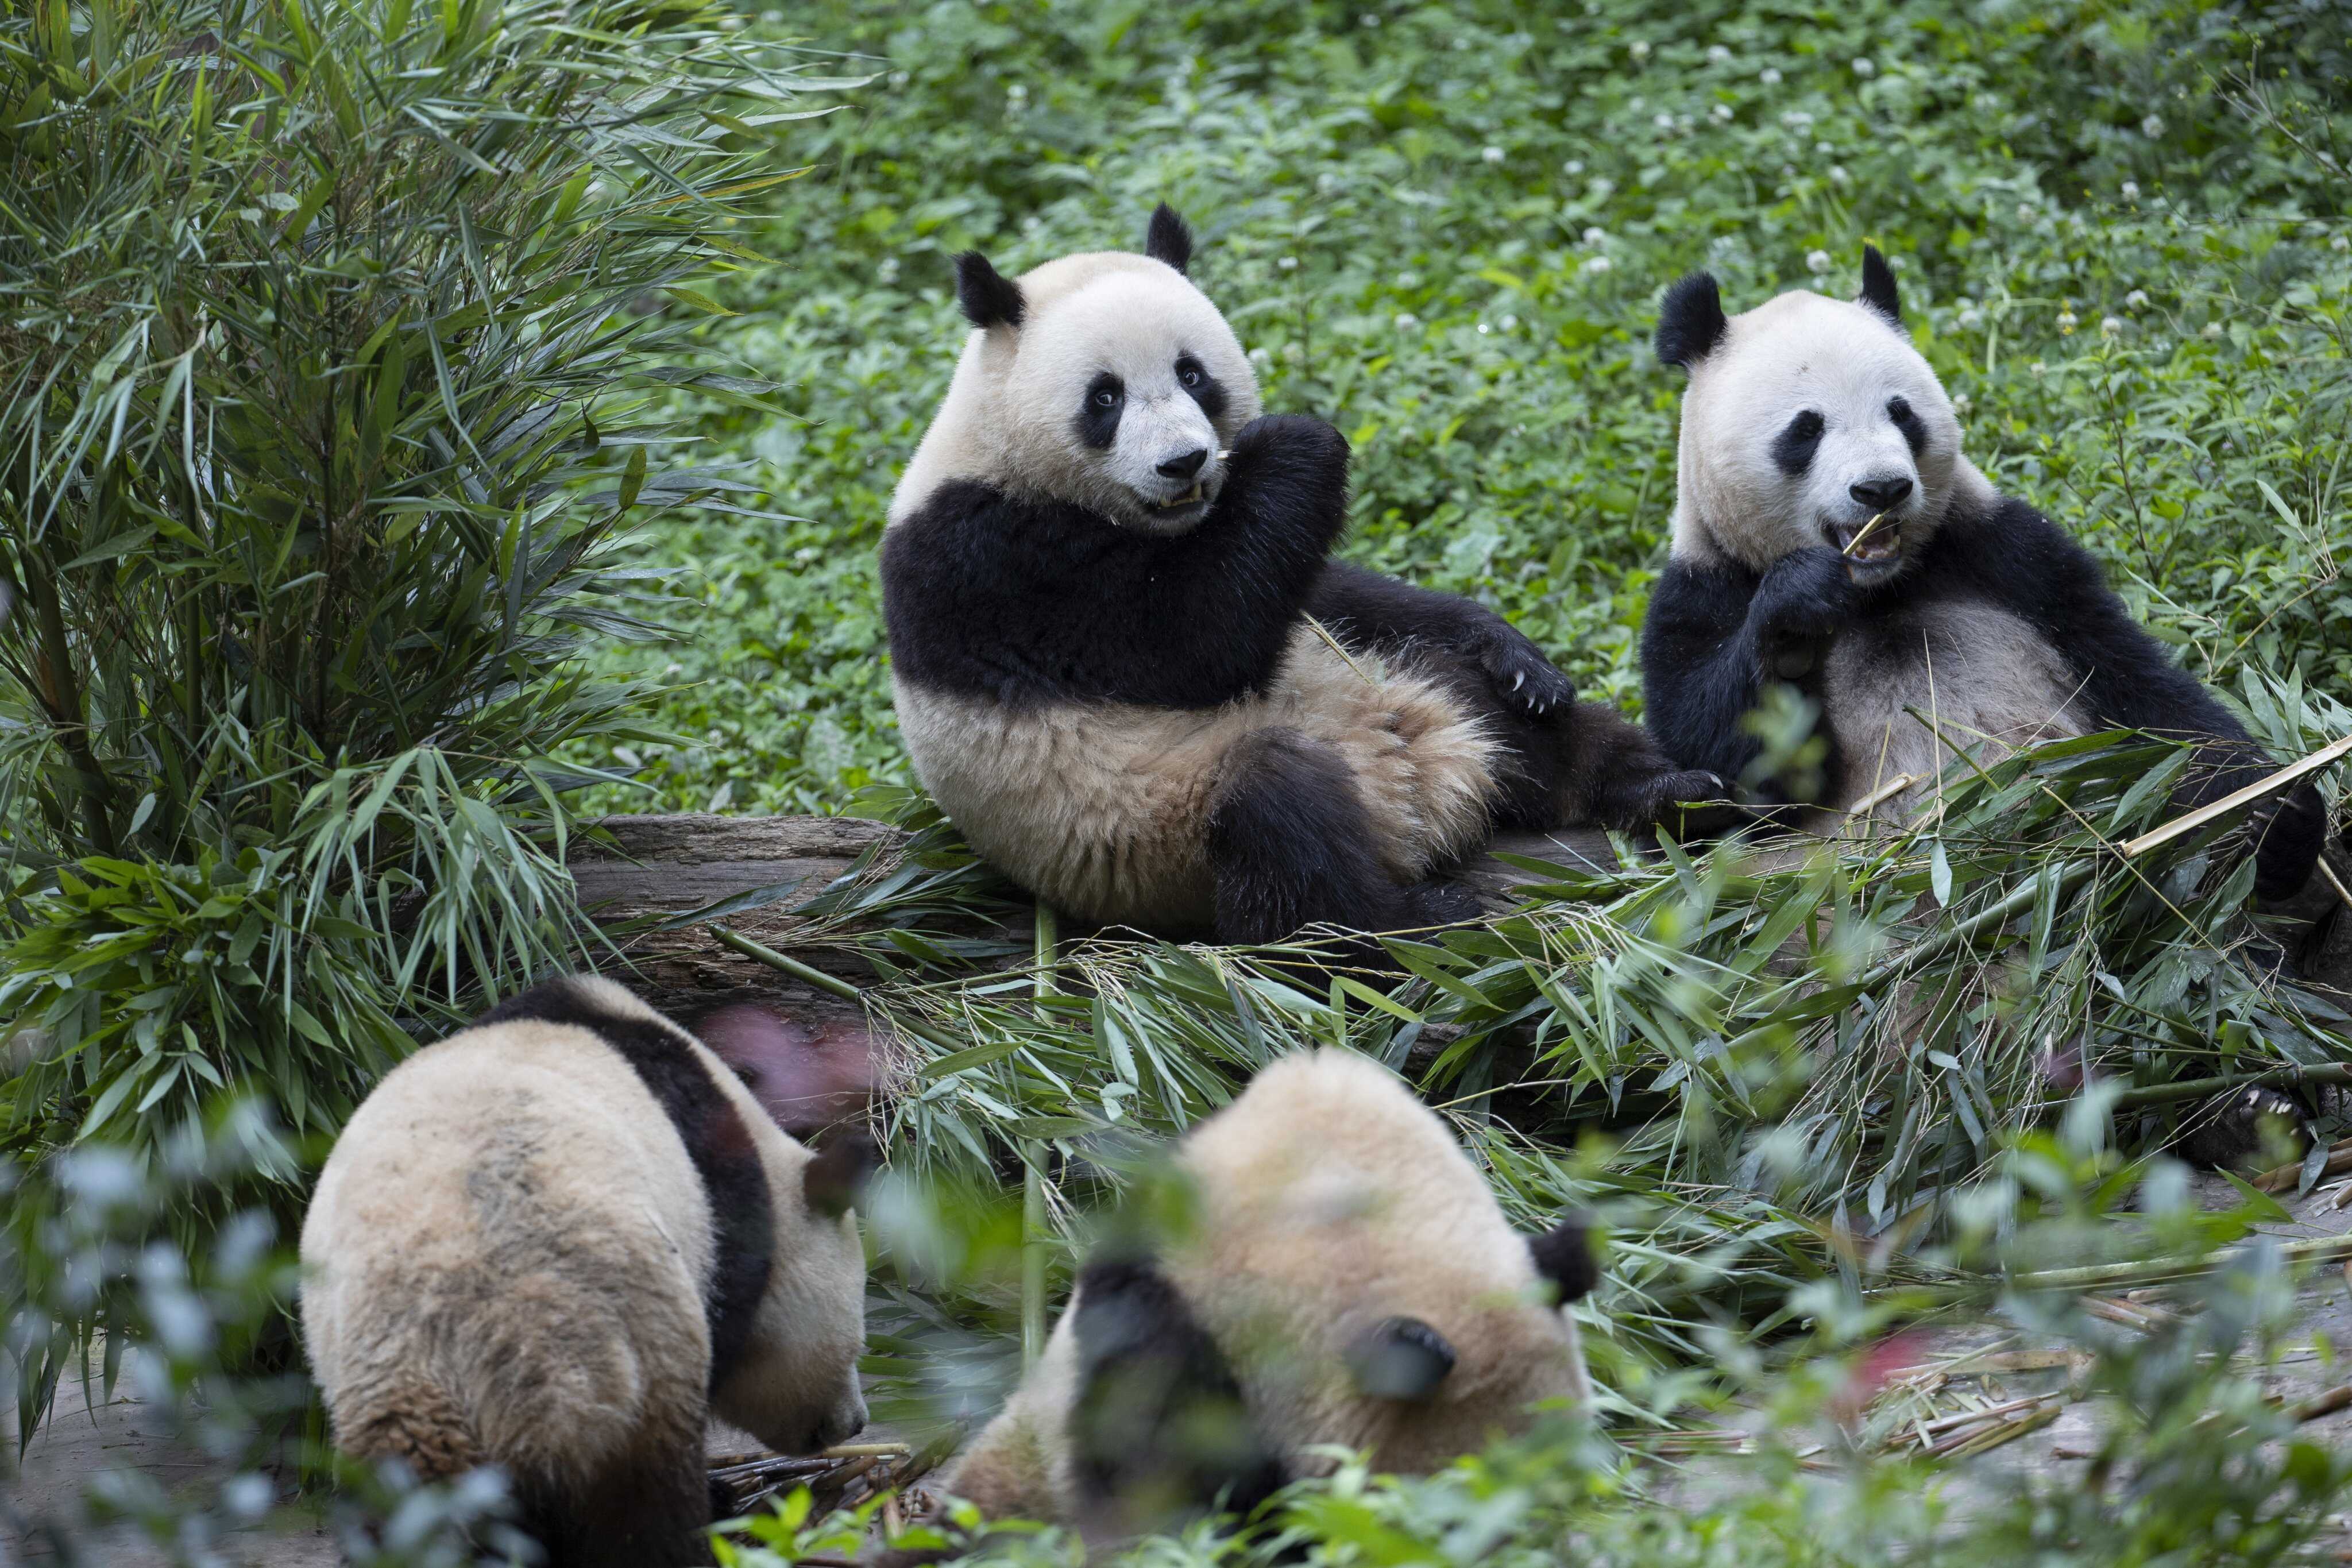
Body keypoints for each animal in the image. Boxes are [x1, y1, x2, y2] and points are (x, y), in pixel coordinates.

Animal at [299, 976, 880, 1568]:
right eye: (856, 1345)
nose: (854, 1423)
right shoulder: (724, 1216)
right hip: (626, 1371)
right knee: (643, 1514)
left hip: (389, 1407)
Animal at [881, 204, 1724, 945]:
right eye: (1105, 396)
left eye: (1194, 375)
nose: (1184, 462)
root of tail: (1423, 814)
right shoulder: (992, 559)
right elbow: (1188, 643)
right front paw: (1296, 440)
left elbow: (1316, 588)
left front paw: (1512, 650)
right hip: (1162, 832)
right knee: (1282, 829)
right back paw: (1413, 916)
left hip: (1398, 684)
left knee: (1498, 711)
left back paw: (1665, 792)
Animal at [1640, 246, 2326, 903]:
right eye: (1805, 429)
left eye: (1902, 413)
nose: (1881, 489)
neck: (1878, 591)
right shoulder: (1704, 588)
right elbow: (1724, 757)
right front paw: (1796, 616)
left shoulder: (2005, 554)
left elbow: (2140, 690)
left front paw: (2274, 813)